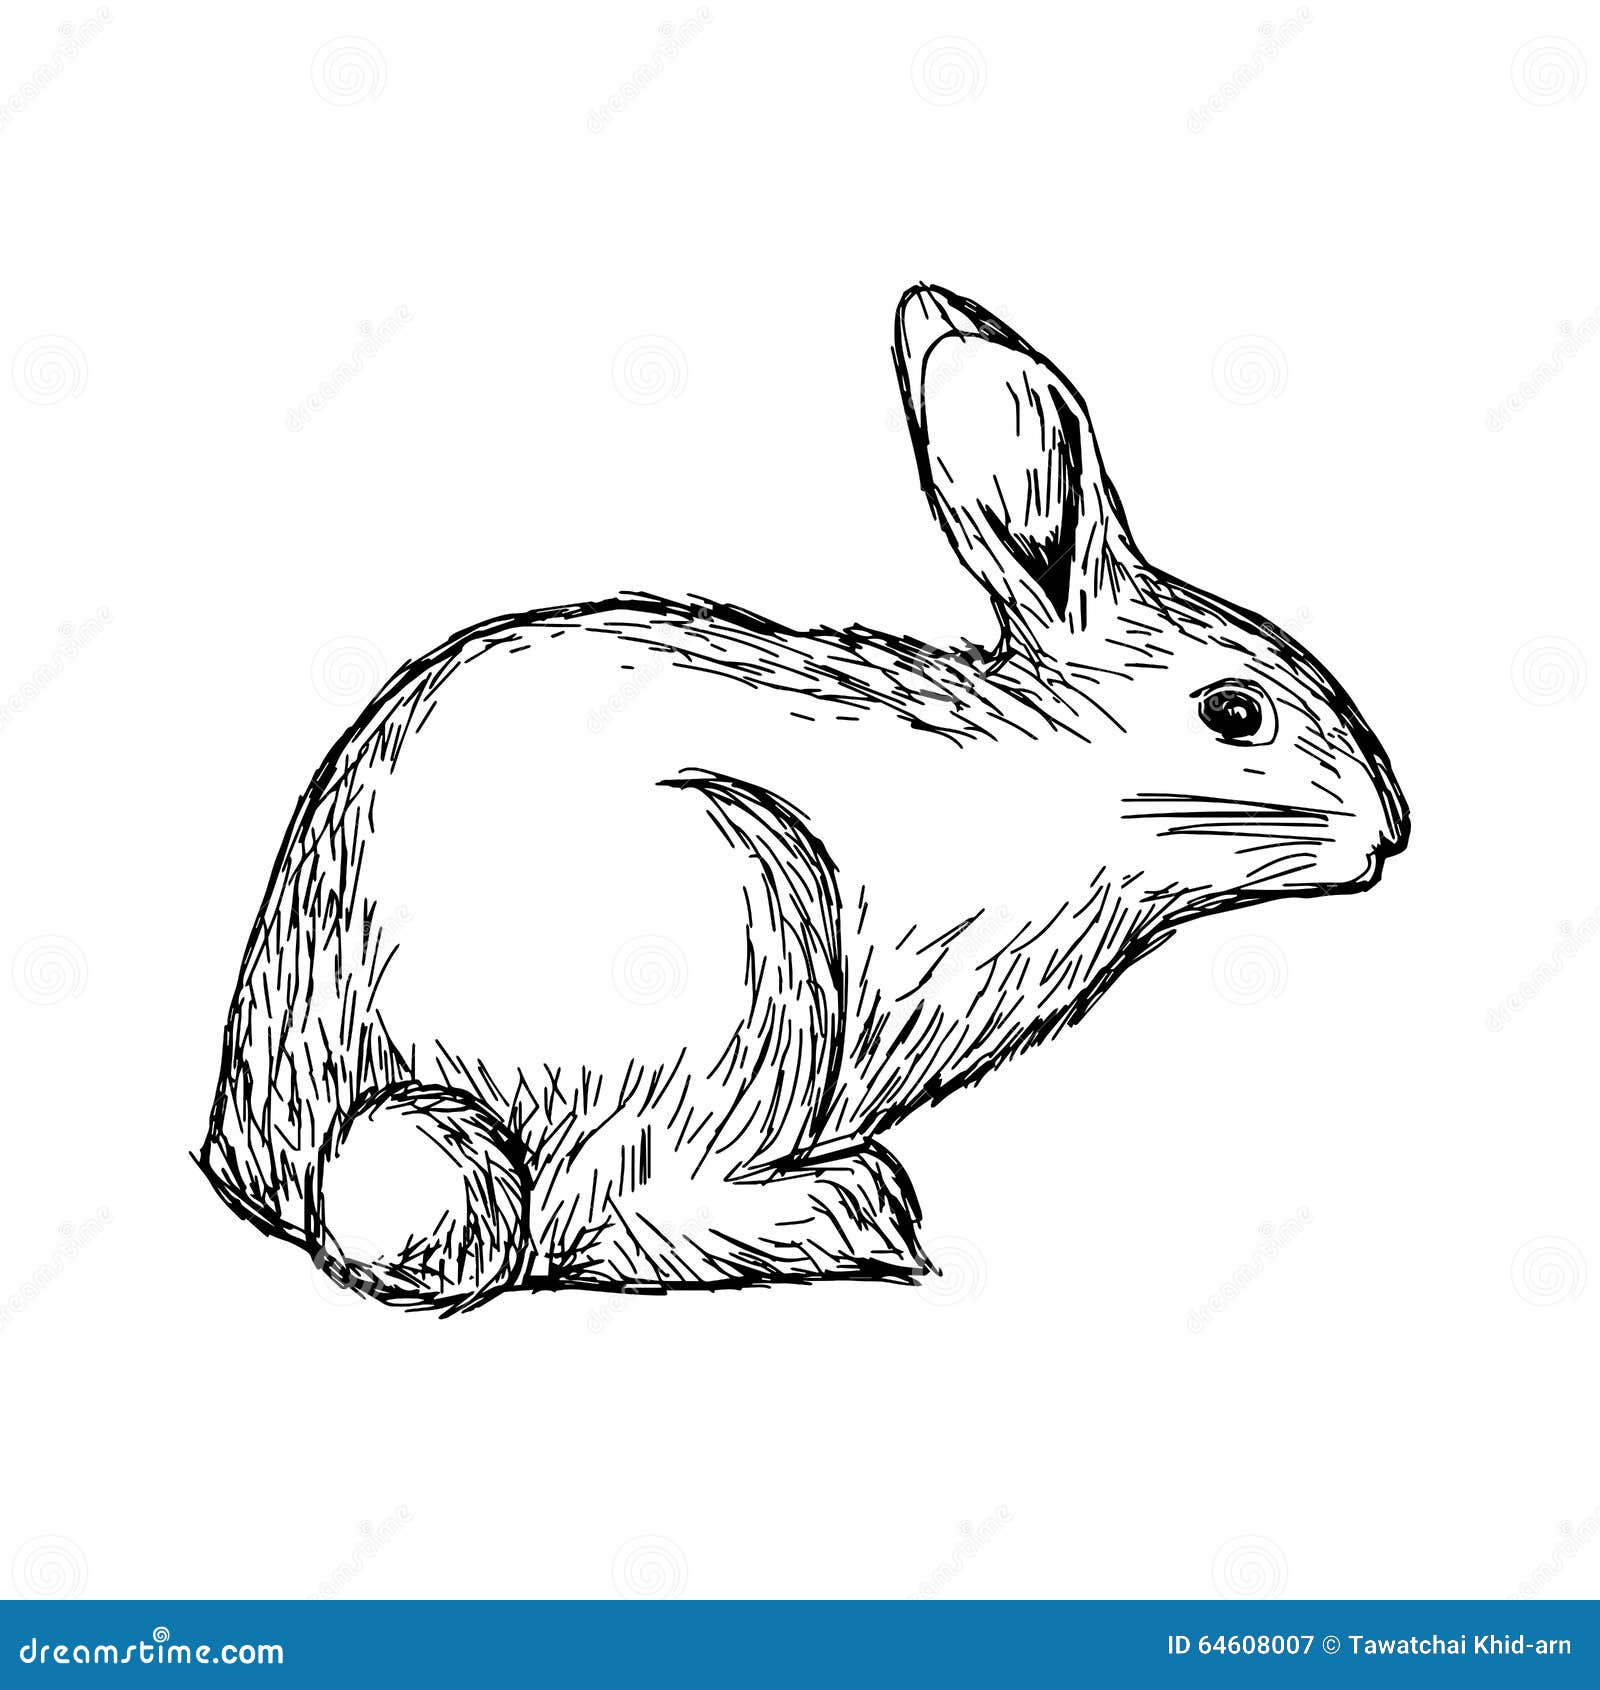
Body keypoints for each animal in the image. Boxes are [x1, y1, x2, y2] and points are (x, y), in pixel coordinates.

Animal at [198, 284, 1408, 1312]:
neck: (1048, 783)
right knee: (610, 1217)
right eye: (1236, 714)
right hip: (739, 924)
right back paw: (849, 1217)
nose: (1390, 830)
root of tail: (281, 1144)